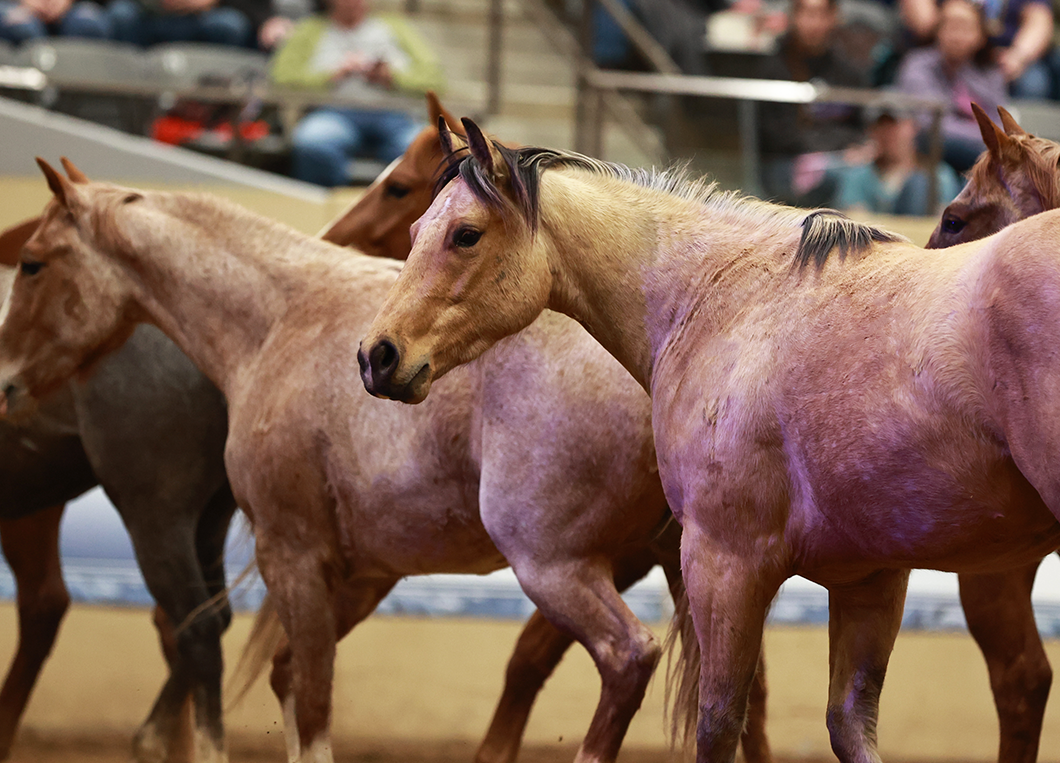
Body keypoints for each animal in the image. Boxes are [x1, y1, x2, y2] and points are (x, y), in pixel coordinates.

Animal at [0, 158, 767, 763]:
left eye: (32, 263)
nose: (5, 382)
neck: (281, 316)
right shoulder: (361, 571)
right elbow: (290, 678)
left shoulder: (292, 554)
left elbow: (309, 702)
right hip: (698, 574)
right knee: (740, 702)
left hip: (558, 568)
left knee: (627, 657)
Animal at [359, 118, 1060, 763]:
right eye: (417, 233)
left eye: (465, 235)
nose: (376, 354)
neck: (724, 293)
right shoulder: (871, 577)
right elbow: (849, 727)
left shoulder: (724, 563)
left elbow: (720, 722)